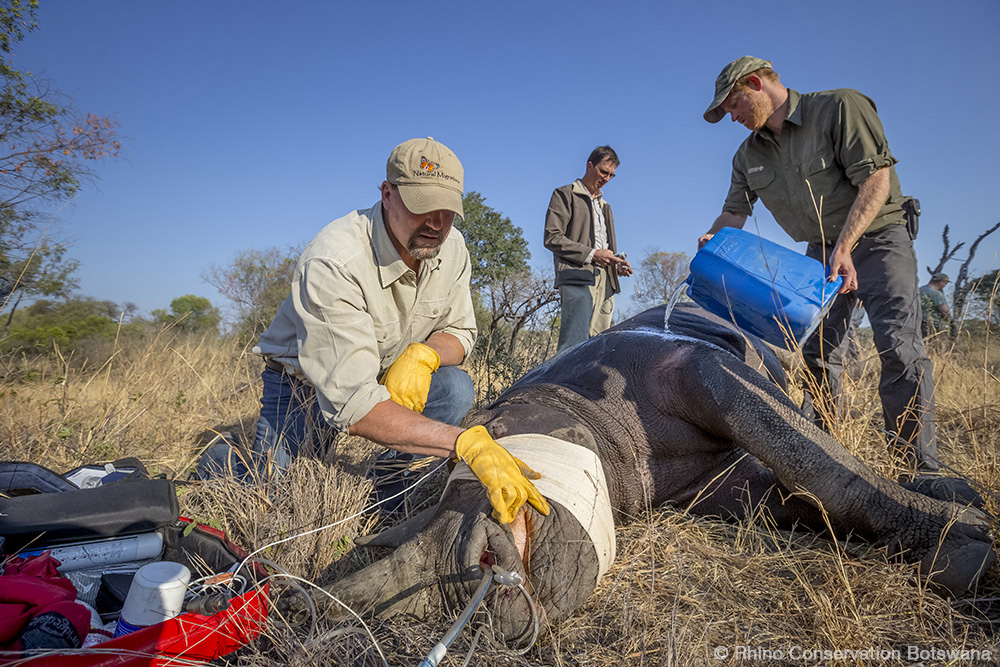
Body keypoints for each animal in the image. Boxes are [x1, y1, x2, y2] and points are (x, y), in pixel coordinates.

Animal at [325, 304, 995, 642]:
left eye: (457, 465)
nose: (458, 585)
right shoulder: (721, 488)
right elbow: (806, 492)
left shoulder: (697, 367)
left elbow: (818, 460)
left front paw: (967, 540)